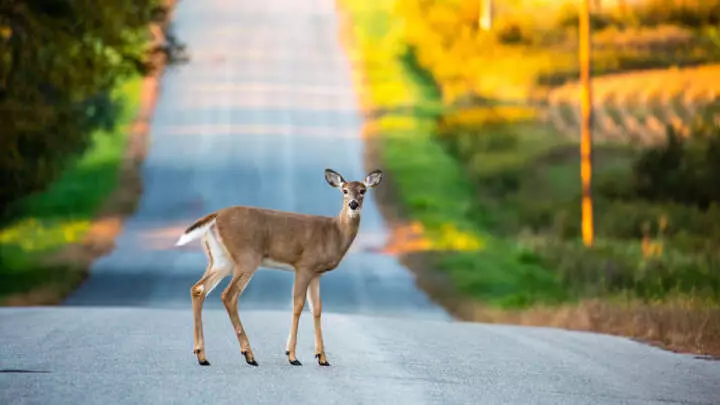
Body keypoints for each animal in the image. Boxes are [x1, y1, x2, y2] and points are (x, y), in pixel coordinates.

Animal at [174, 167, 382, 366]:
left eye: (363, 190)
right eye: (344, 190)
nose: (353, 204)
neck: (334, 233)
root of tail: (215, 216)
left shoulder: (316, 273)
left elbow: (317, 308)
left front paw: (322, 358)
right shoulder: (304, 265)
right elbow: (298, 305)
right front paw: (292, 356)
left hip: (221, 259)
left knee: (198, 289)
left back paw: (202, 356)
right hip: (247, 257)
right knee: (228, 295)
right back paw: (249, 355)